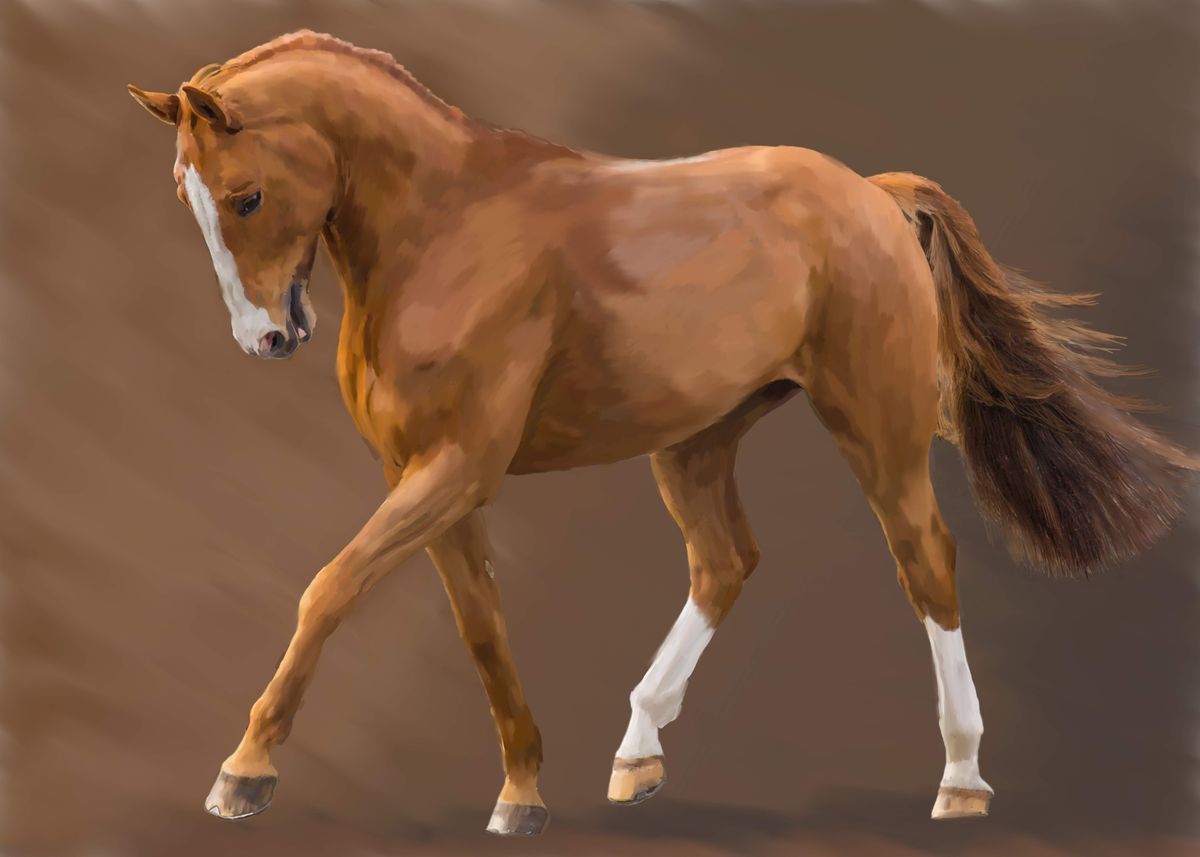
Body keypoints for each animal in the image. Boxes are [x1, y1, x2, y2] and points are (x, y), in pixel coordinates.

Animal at [128, 30, 1195, 836]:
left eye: (246, 195)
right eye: (187, 199)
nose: (266, 338)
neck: (448, 229)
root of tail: (872, 192)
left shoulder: (457, 467)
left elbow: (329, 588)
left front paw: (244, 773)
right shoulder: (428, 475)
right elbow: (480, 624)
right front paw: (522, 794)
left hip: (875, 425)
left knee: (924, 560)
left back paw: (962, 780)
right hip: (697, 440)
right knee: (725, 562)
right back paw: (637, 754)